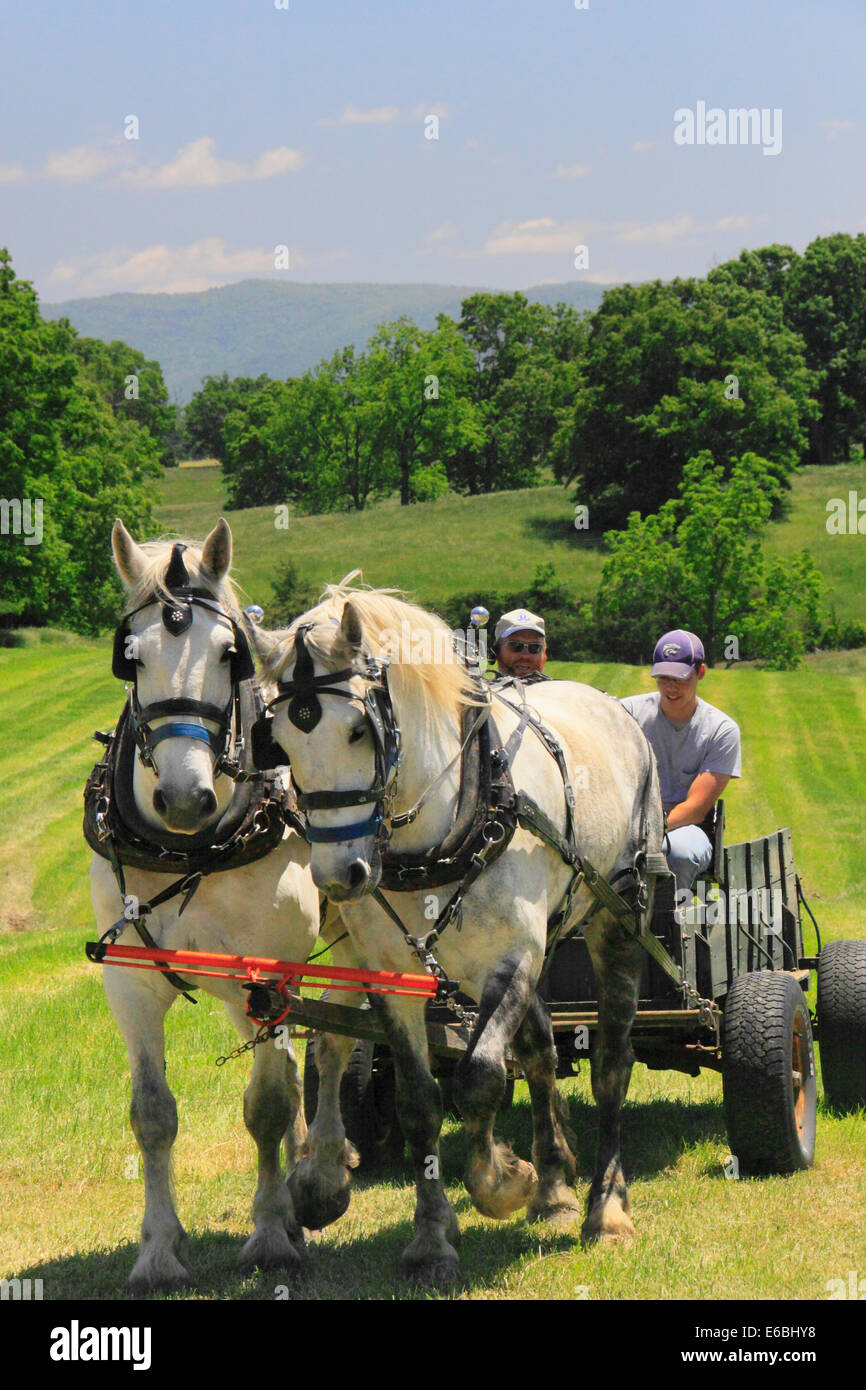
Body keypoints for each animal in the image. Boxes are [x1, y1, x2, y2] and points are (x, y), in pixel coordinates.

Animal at [87, 519, 320, 1293]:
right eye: (131, 659)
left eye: (228, 653)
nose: (186, 798)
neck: (193, 847)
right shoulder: (129, 981)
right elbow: (153, 1115)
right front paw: (159, 1249)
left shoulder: (271, 974)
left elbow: (268, 1107)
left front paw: (271, 1234)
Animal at [250, 578, 665, 1285]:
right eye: (279, 737)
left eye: (359, 730)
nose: (338, 874)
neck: (449, 823)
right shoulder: (393, 972)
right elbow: (420, 1101)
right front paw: (432, 1239)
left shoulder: (513, 958)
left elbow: (479, 1078)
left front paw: (501, 1183)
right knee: (541, 1052)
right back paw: (556, 1187)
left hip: (618, 916)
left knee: (611, 1062)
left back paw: (603, 1208)